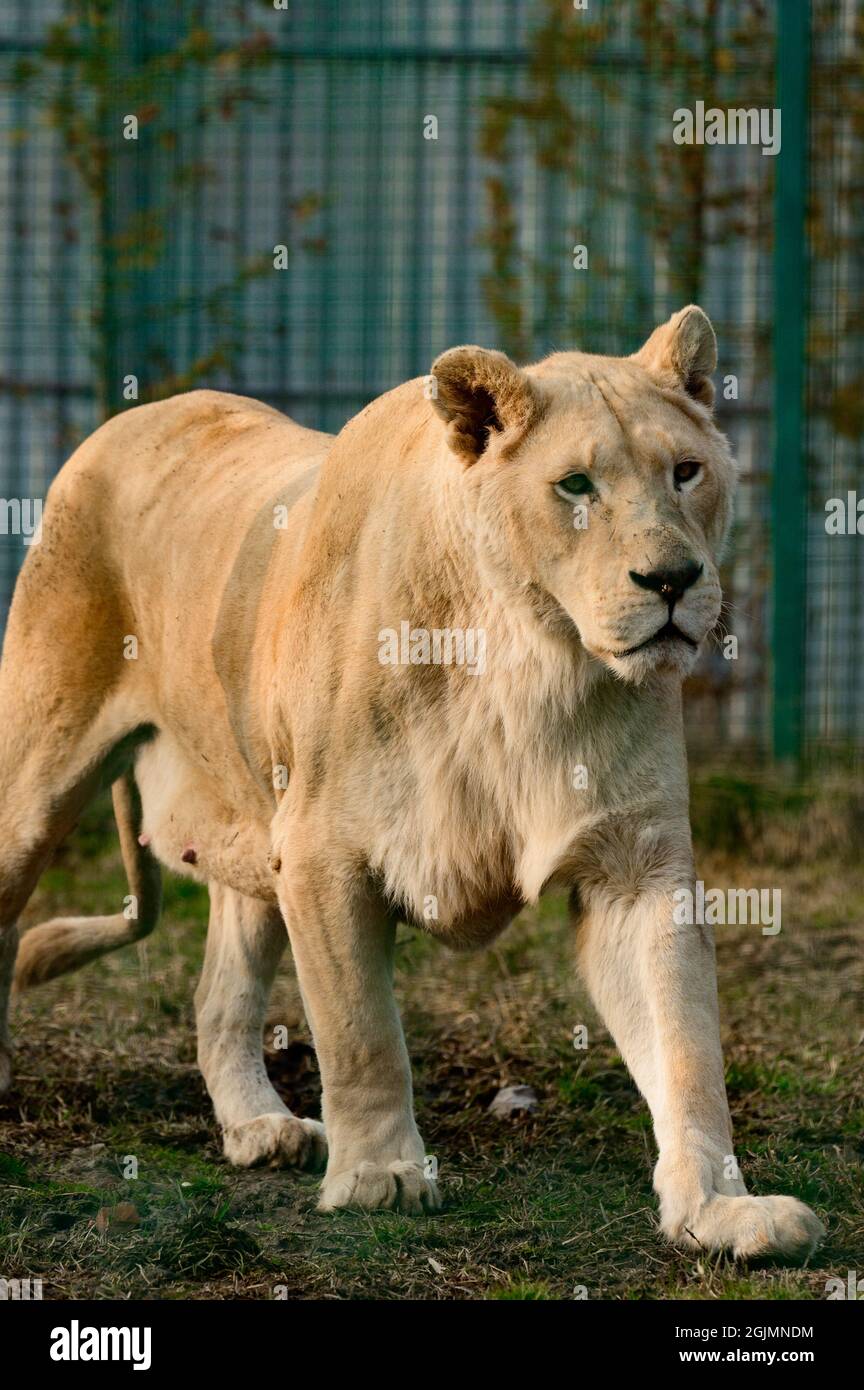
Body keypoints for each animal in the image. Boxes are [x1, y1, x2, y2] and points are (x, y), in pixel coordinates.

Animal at [0, 306, 823, 1258]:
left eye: (686, 472)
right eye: (575, 486)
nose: (672, 581)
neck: (535, 661)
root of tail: (128, 420)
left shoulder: (637, 868)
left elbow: (687, 1050)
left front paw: (721, 1208)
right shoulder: (322, 852)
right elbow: (362, 1035)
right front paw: (380, 1176)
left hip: (250, 822)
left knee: (218, 1000)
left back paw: (258, 1127)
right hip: (39, 780)